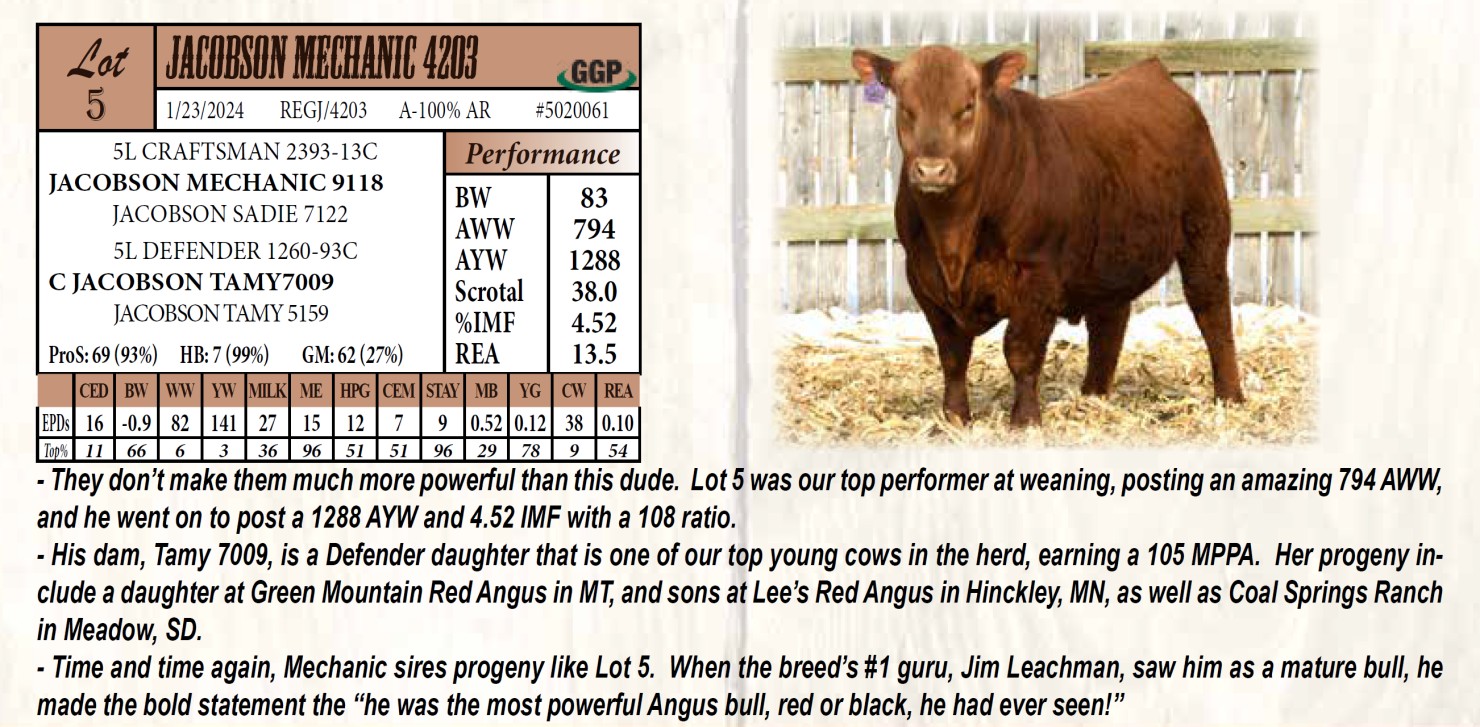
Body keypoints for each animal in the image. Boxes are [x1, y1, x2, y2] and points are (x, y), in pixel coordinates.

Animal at [850, 46, 1244, 428]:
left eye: (967, 105)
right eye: (905, 106)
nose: (932, 169)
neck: (953, 237)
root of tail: (1151, 71)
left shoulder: (1037, 276)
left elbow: (1021, 350)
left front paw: (1025, 419)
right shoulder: (922, 277)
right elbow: (952, 355)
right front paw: (954, 418)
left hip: (1205, 229)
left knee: (1212, 308)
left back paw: (1229, 396)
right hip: (1109, 256)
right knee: (1109, 322)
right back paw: (1092, 396)